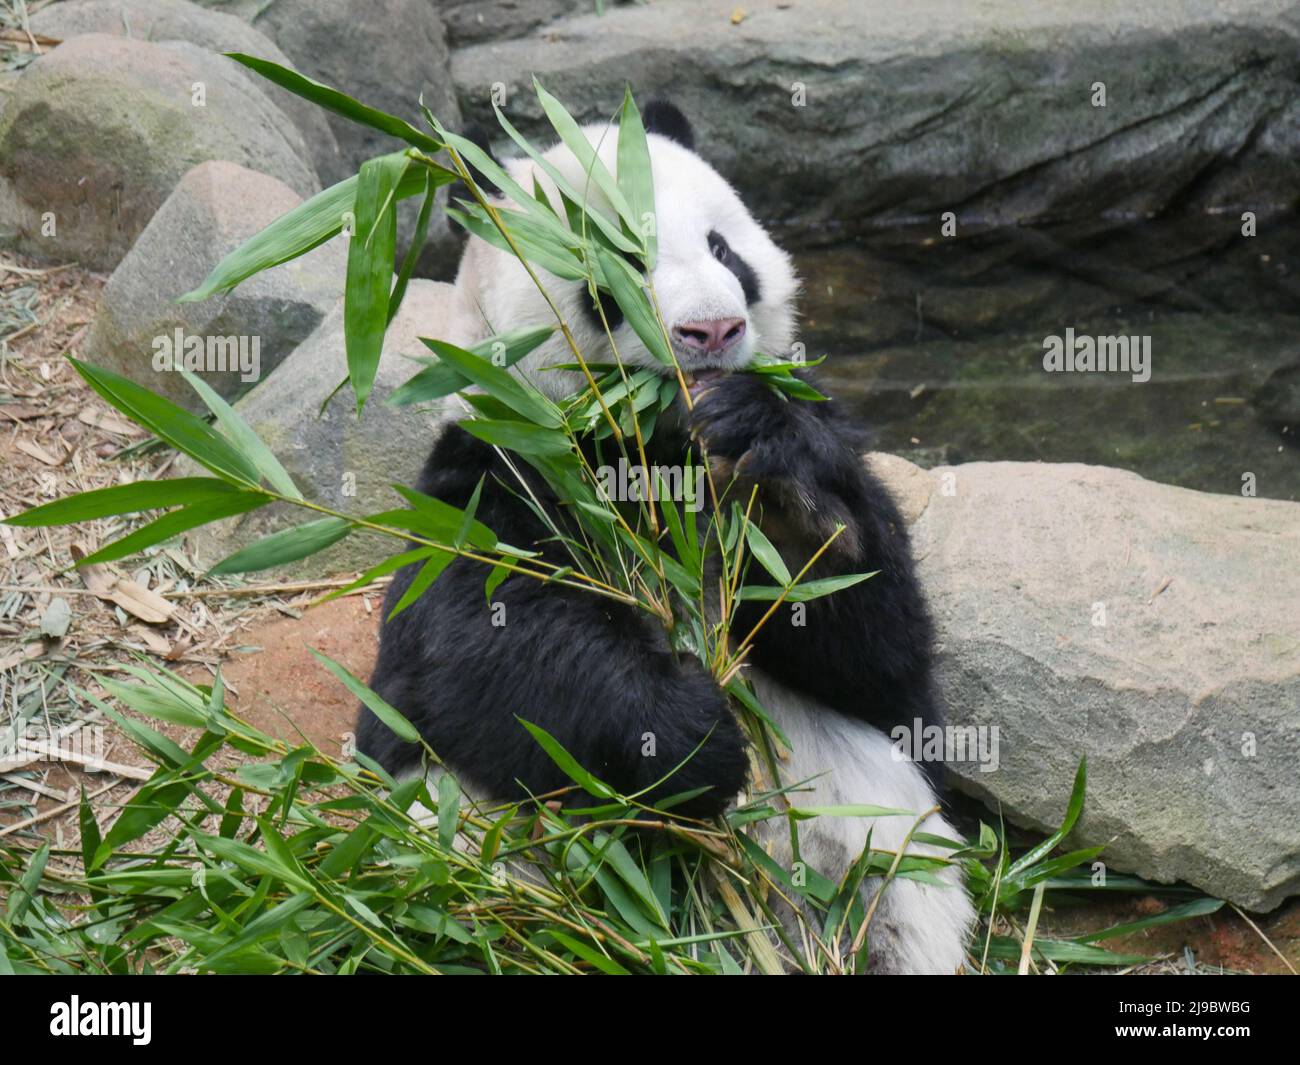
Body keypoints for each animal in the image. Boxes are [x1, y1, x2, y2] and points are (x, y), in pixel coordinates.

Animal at [358, 101, 975, 974]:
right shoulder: (499, 471)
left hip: (877, 855)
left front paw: (783, 501)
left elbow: (881, 654)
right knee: (490, 896)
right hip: (481, 865)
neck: (659, 442)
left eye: (725, 250)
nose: (714, 330)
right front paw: (690, 733)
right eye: (615, 260)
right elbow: (482, 648)